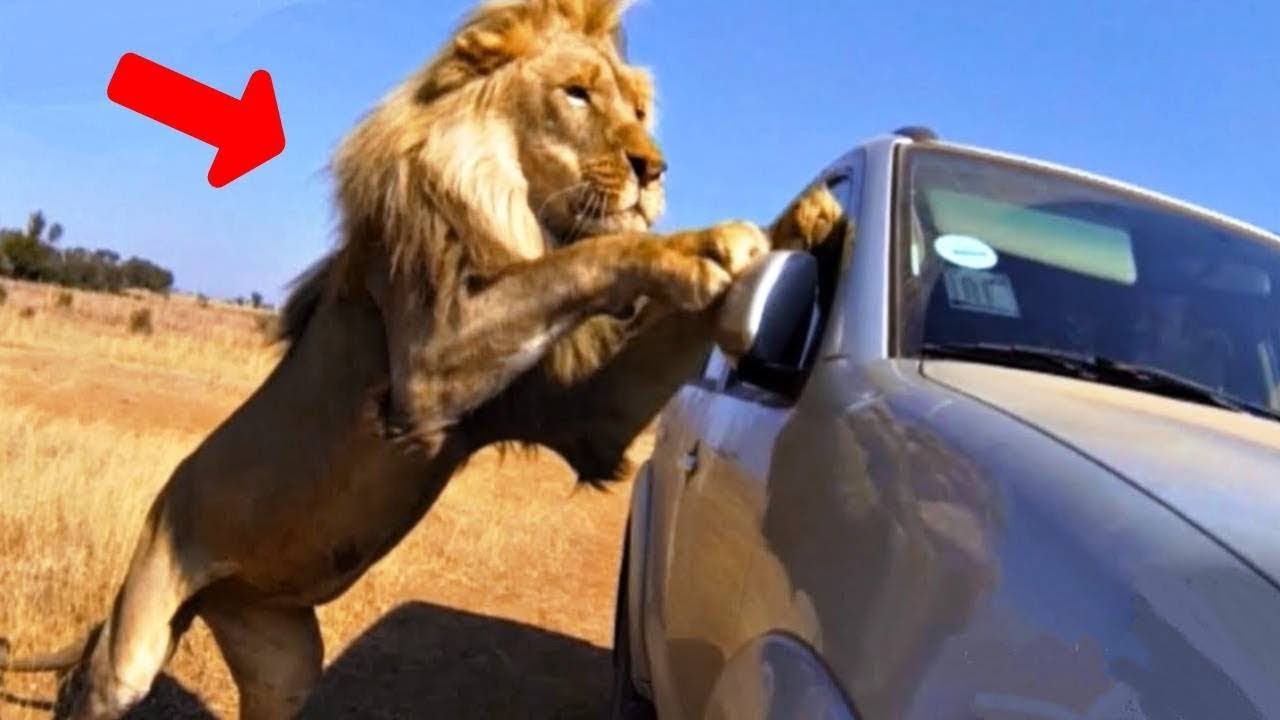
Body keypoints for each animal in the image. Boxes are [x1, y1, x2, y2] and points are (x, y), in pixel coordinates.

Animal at [0, 1, 839, 717]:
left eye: (636, 110)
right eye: (575, 94)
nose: (653, 169)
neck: (516, 206)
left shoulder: (579, 412)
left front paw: (811, 213)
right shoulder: (432, 363)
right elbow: (585, 259)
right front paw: (699, 246)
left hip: (283, 654)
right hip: (141, 628)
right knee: (95, 680)